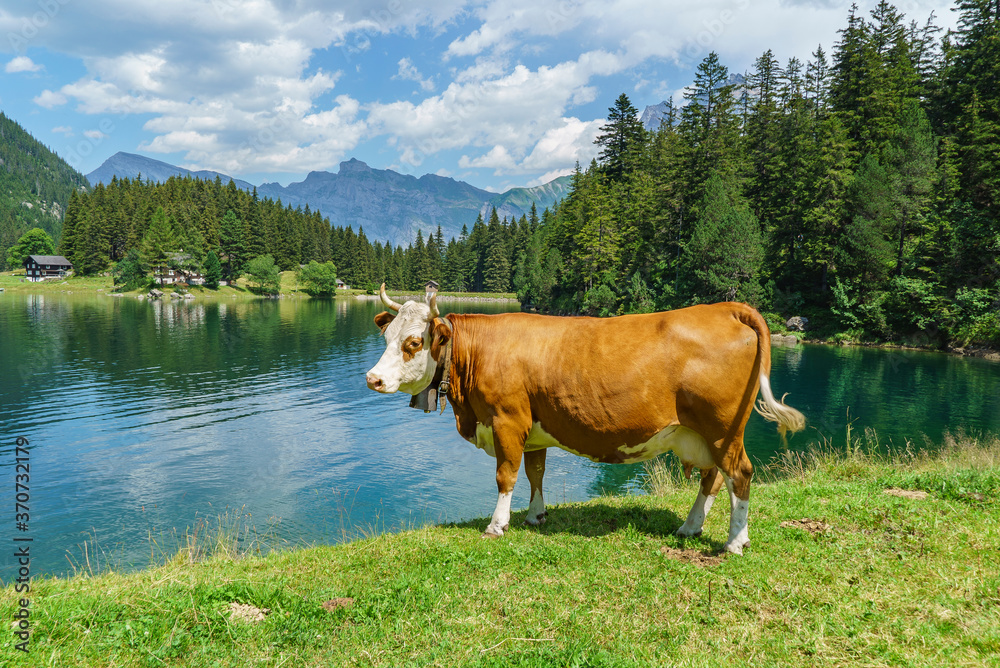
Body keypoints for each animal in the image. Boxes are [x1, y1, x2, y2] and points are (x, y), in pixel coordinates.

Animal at [365, 284, 805, 555]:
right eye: (386, 338)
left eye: (414, 342)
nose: (373, 378)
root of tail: (724, 308)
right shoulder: (533, 429)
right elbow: (535, 472)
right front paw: (535, 515)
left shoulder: (507, 420)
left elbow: (506, 475)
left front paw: (497, 524)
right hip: (701, 434)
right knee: (712, 478)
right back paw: (690, 527)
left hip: (723, 429)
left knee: (740, 475)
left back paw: (735, 541)